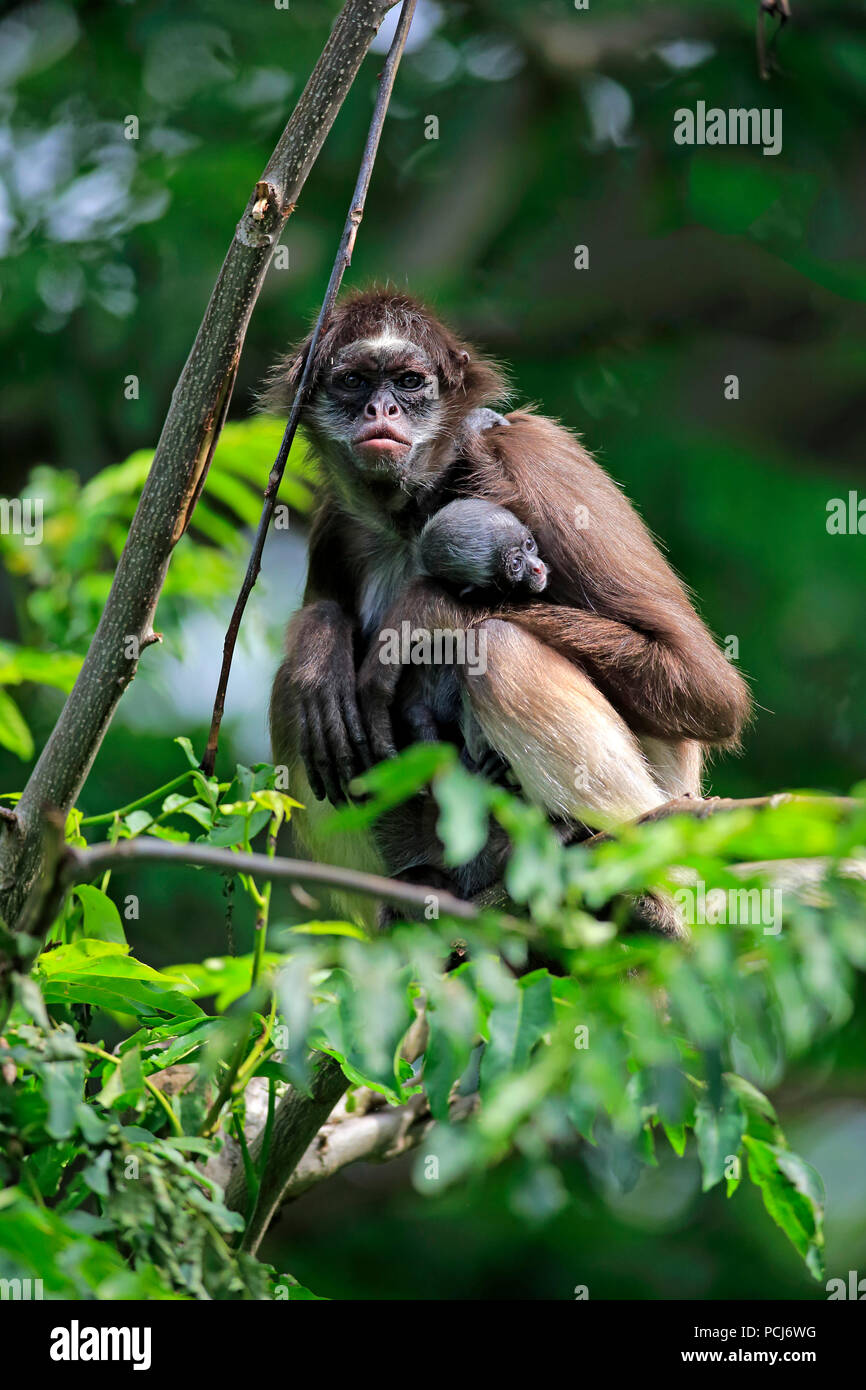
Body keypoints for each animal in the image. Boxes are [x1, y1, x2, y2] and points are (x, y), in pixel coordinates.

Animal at [264, 289, 751, 924]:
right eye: (352, 381)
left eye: (409, 381)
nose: (380, 409)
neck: (409, 517)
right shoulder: (336, 521)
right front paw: (321, 644)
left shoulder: (534, 452)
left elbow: (707, 690)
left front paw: (427, 609)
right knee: (294, 695)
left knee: (496, 644)